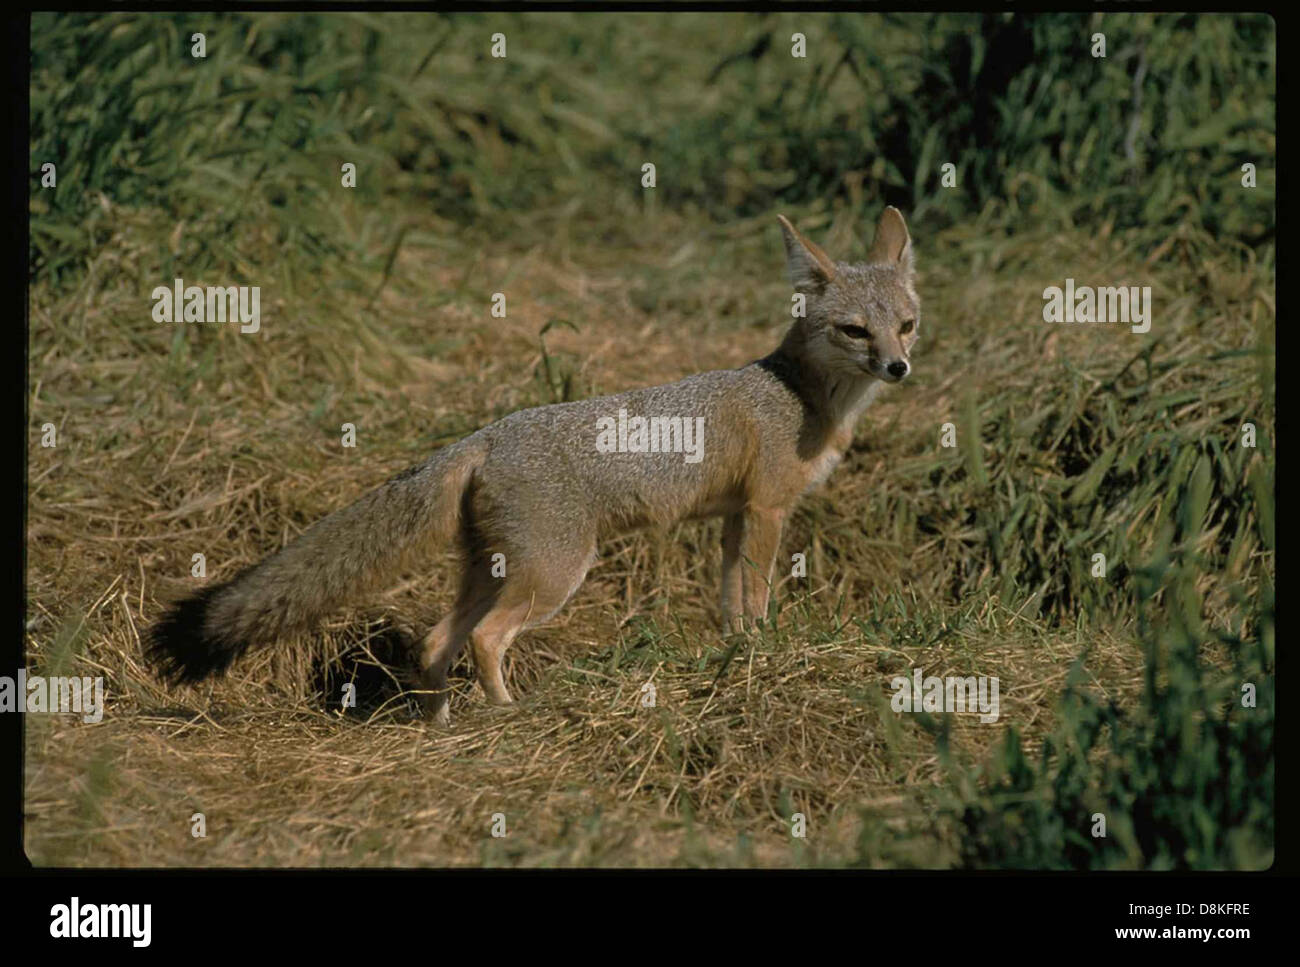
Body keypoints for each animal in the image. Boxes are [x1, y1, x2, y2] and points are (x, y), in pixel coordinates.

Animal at [147, 207, 920, 724]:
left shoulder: (735, 517)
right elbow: (755, 599)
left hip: (495, 571)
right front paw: (764, 652)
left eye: (905, 325)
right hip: (553, 576)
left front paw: (738, 658)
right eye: (855, 330)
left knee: (435, 639)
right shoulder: (766, 511)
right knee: (484, 639)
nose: (899, 367)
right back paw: (508, 713)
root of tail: (487, 433)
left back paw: (444, 727)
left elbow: (730, 601)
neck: (799, 394)